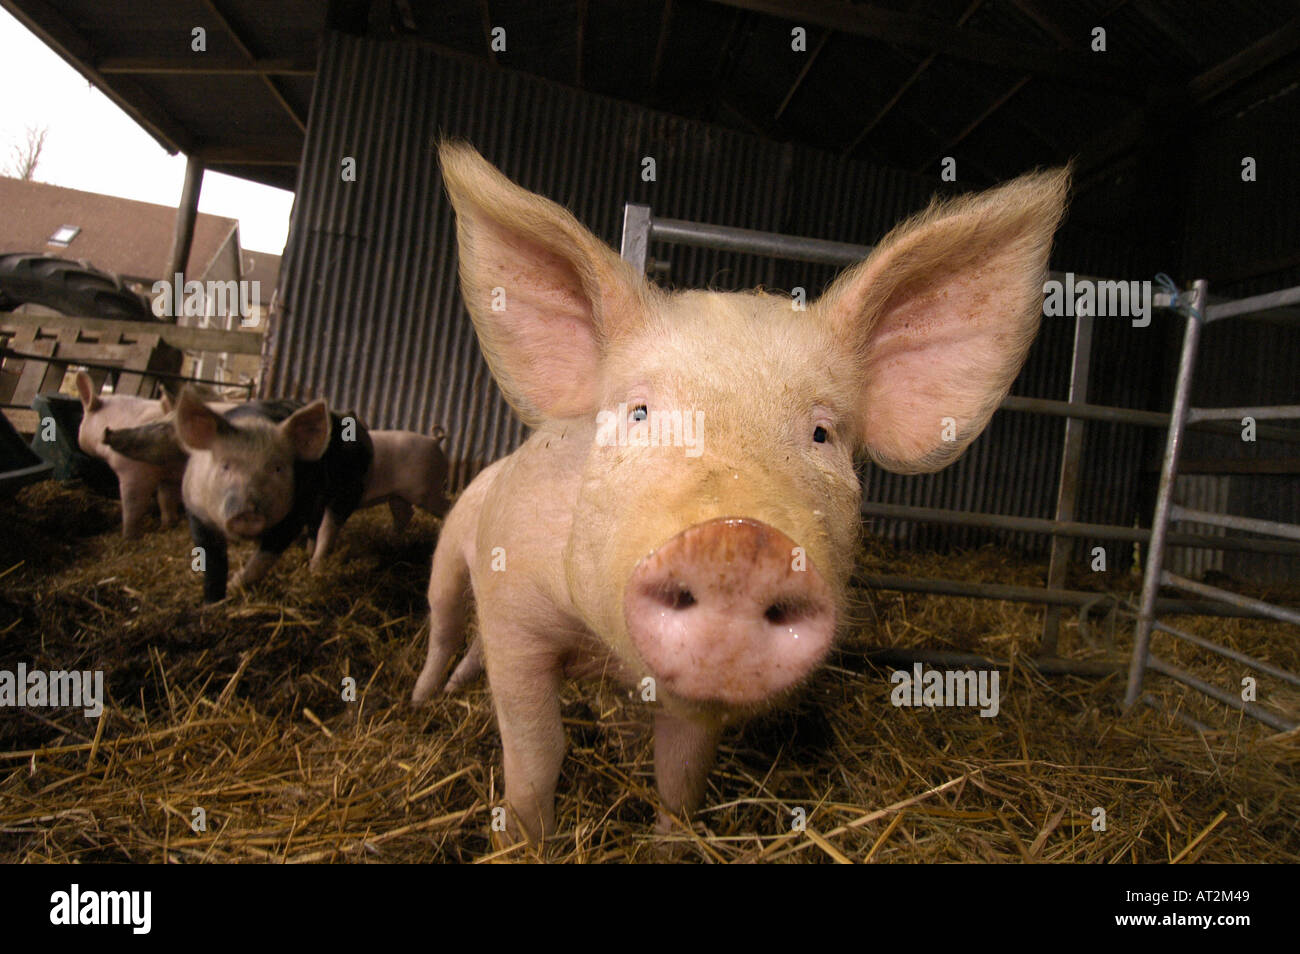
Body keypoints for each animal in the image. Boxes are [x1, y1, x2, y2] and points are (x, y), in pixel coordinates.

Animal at [74, 371, 183, 538]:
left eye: (83, 418)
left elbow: (133, 505)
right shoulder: (169, 476)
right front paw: (166, 526)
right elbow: (166, 500)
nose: (78, 440)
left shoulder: (133, 471)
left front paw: (128, 536)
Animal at [109, 389, 373, 602]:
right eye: (225, 466)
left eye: (277, 468)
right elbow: (213, 563)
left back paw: (315, 568)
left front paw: (236, 584)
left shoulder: (293, 514)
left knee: (330, 526)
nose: (247, 512)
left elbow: (265, 556)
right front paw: (212, 604)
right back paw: (308, 556)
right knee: (315, 526)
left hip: (351, 490)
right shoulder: (197, 513)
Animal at [310, 427, 450, 562]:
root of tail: (434, 440)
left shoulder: (340, 500)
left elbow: (325, 530)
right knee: (405, 515)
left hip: (426, 493)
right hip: (398, 497)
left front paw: (315, 565)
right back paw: (388, 540)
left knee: (446, 507)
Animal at [412, 142, 1069, 842]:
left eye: (822, 434)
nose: (738, 545)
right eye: (640, 411)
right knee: (445, 620)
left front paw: (671, 844)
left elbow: (680, 774)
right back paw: (425, 697)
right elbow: (536, 752)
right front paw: (523, 839)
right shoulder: (514, 611)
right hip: (453, 548)